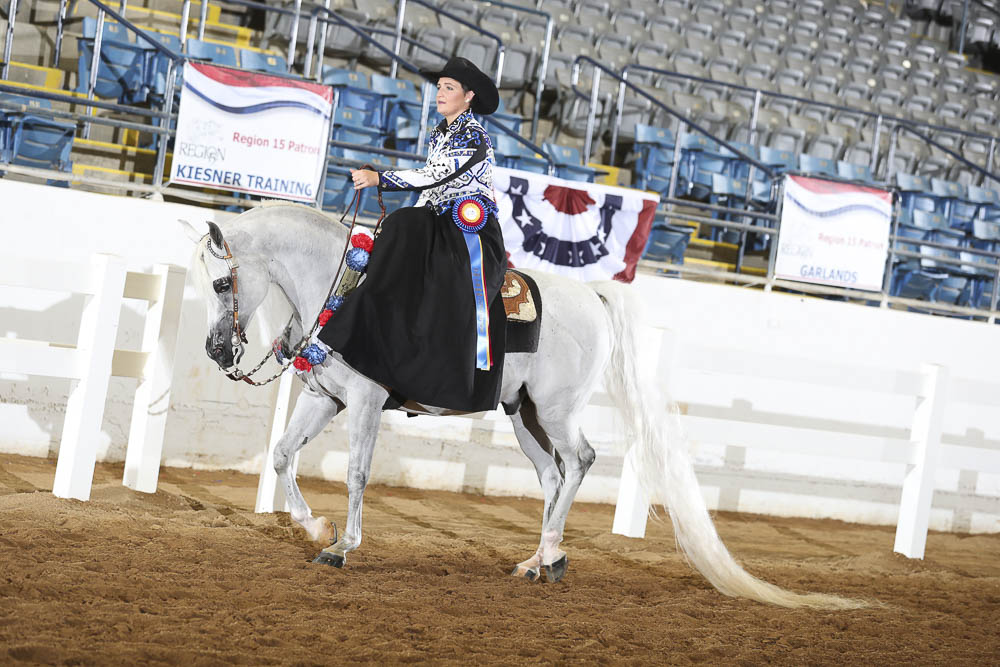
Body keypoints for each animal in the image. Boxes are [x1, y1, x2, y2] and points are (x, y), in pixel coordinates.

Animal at [182, 201, 864, 609]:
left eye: (220, 282)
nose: (216, 350)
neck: (345, 290)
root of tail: (592, 295)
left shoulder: (368, 403)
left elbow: (355, 473)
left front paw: (342, 545)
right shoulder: (325, 397)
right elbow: (281, 454)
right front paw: (314, 526)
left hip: (556, 411)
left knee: (581, 459)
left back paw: (552, 555)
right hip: (525, 415)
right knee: (553, 476)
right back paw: (539, 561)